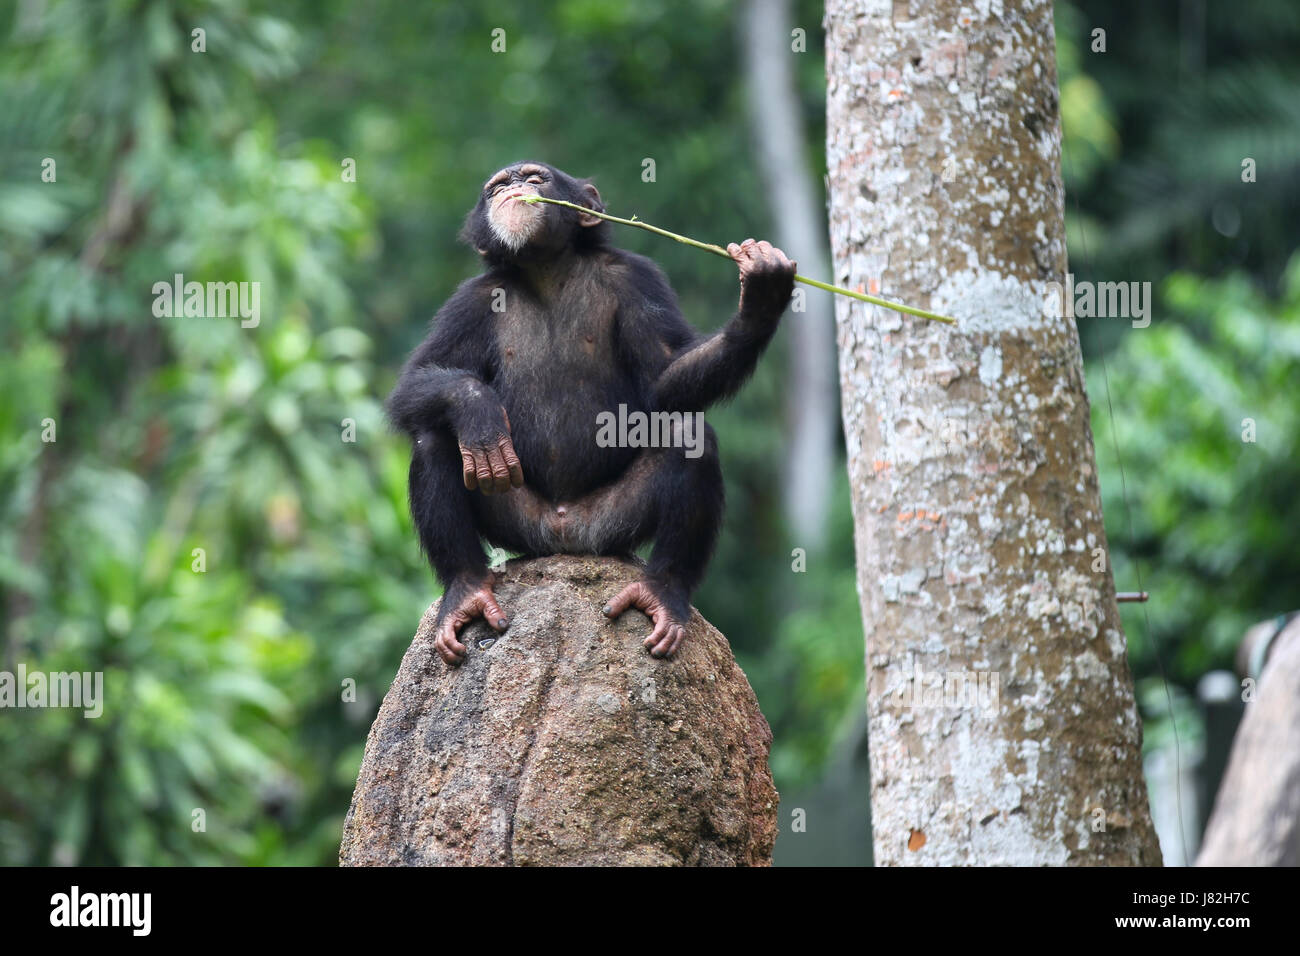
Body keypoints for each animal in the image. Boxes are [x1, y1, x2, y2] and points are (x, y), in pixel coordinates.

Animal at [387, 161, 795, 665]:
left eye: (535, 178)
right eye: (496, 188)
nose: (514, 187)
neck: (546, 268)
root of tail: (568, 540)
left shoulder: (637, 278)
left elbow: (665, 379)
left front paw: (761, 300)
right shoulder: (471, 300)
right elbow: (416, 380)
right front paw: (478, 410)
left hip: (611, 525)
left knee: (688, 433)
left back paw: (662, 591)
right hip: (520, 528)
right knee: (436, 437)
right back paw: (466, 589)